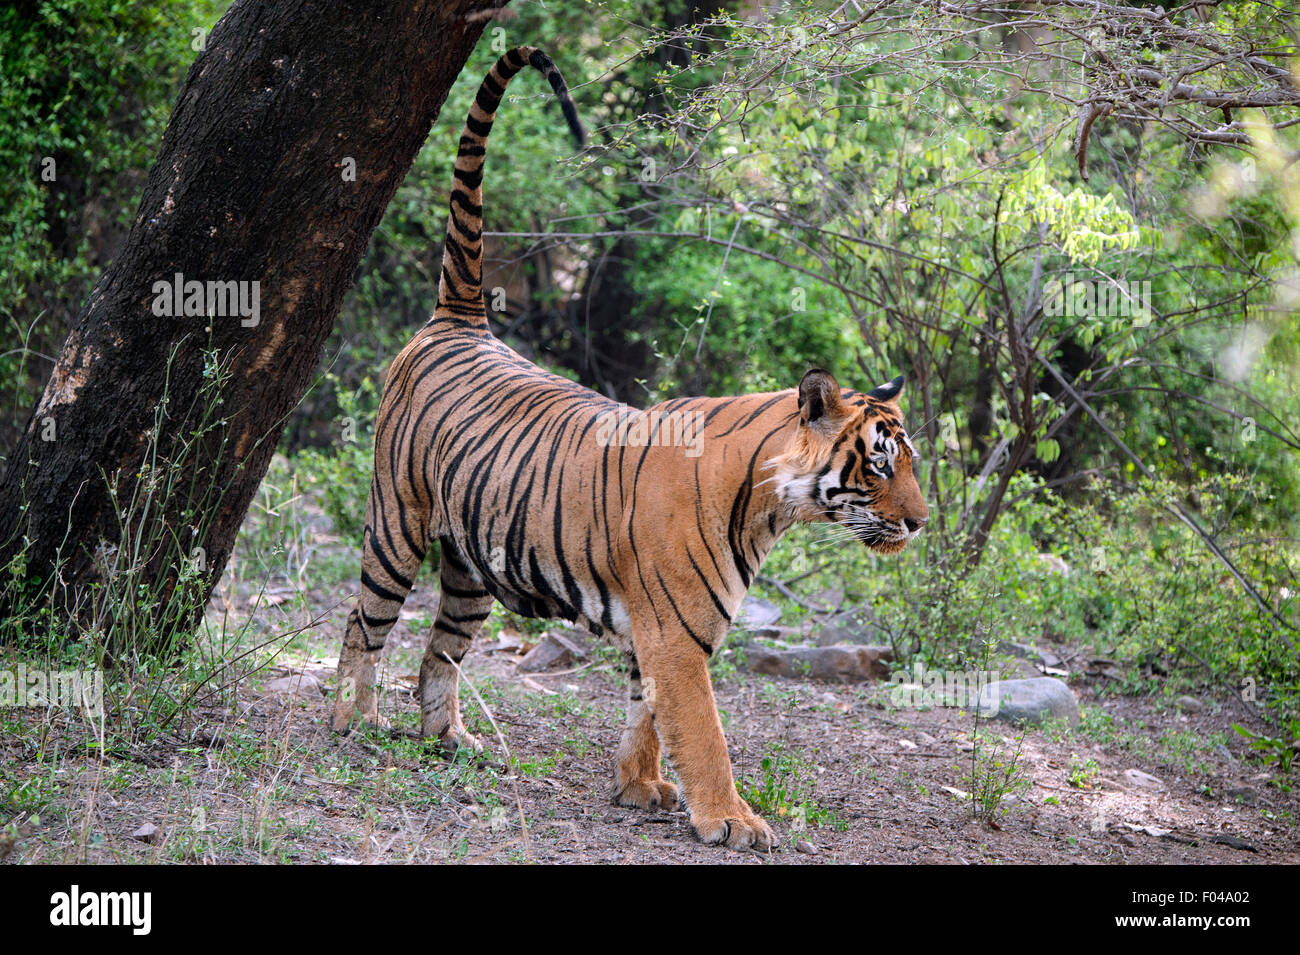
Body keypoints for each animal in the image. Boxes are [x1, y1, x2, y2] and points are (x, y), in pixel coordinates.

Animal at [330, 45, 929, 851]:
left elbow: (646, 713)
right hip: (396, 524)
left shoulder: (671, 630)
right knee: (364, 624)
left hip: (471, 565)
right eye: (880, 461)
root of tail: (461, 321)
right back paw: (351, 721)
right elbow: (703, 732)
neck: (768, 508)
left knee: (441, 649)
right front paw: (732, 820)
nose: (920, 522)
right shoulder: (677, 633)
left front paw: (638, 786)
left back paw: (449, 739)